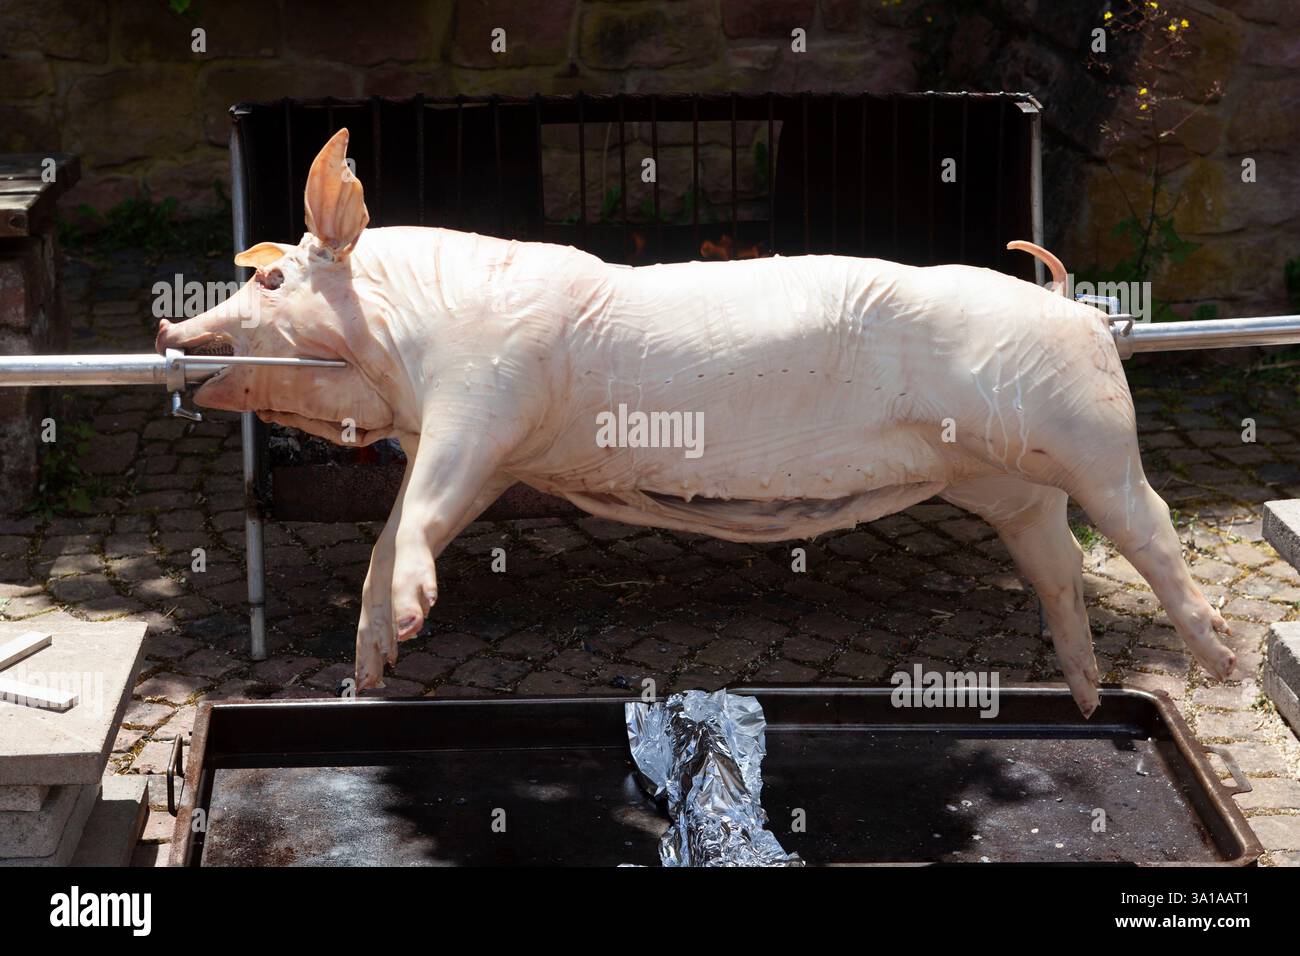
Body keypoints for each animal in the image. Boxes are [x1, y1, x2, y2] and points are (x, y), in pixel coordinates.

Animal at [156, 129, 1235, 715]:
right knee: (1059, 564)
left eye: (270, 279)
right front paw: (371, 665)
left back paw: (1219, 660)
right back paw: (1088, 692)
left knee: (1150, 524)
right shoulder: (479, 450)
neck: (411, 328)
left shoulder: (484, 401)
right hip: (1009, 484)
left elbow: (420, 517)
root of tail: (1080, 310)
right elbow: (392, 533)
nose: (170, 327)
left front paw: (416, 616)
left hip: (1089, 439)